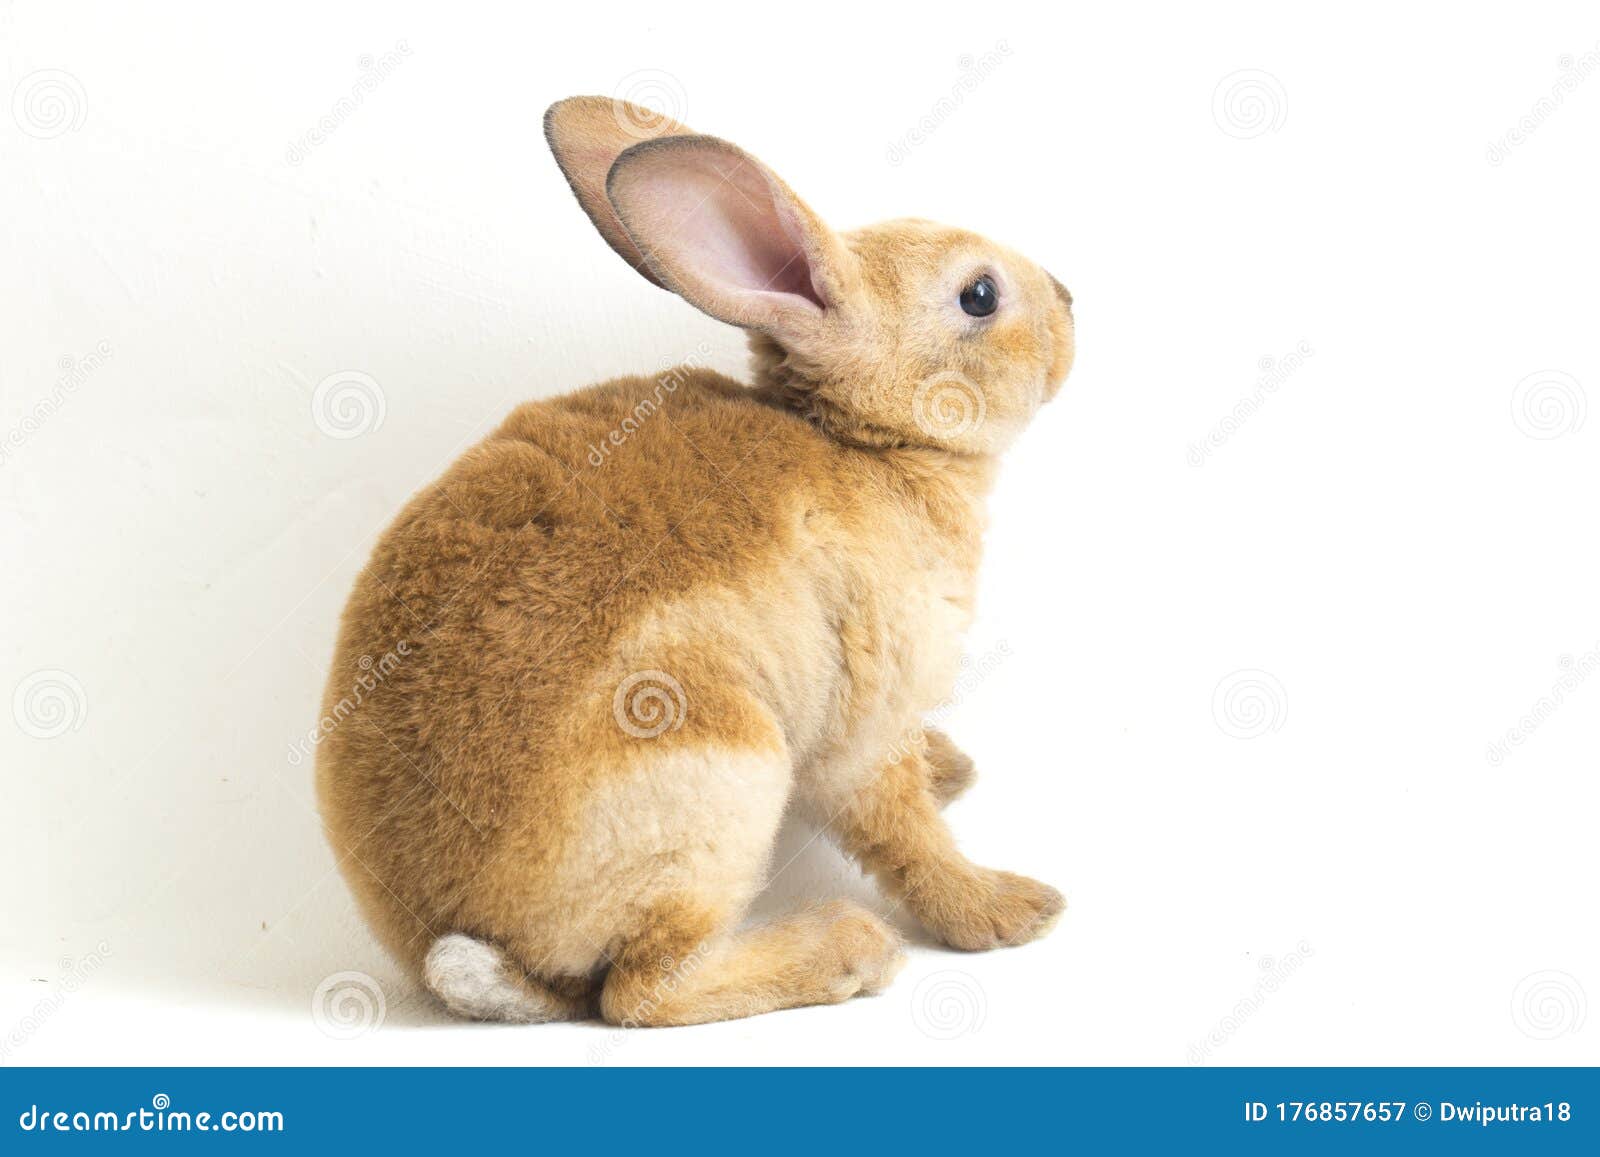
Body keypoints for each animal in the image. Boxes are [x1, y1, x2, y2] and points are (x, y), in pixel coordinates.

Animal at [314, 95, 1075, 1026]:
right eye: (979, 295)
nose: (1072, 301)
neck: (871, 443)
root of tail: (466, 949)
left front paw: (952, 768)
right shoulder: (866, 725)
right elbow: (907, 835)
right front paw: (1011, 912)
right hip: (718, 773)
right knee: (642, 992)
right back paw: (848, 947)